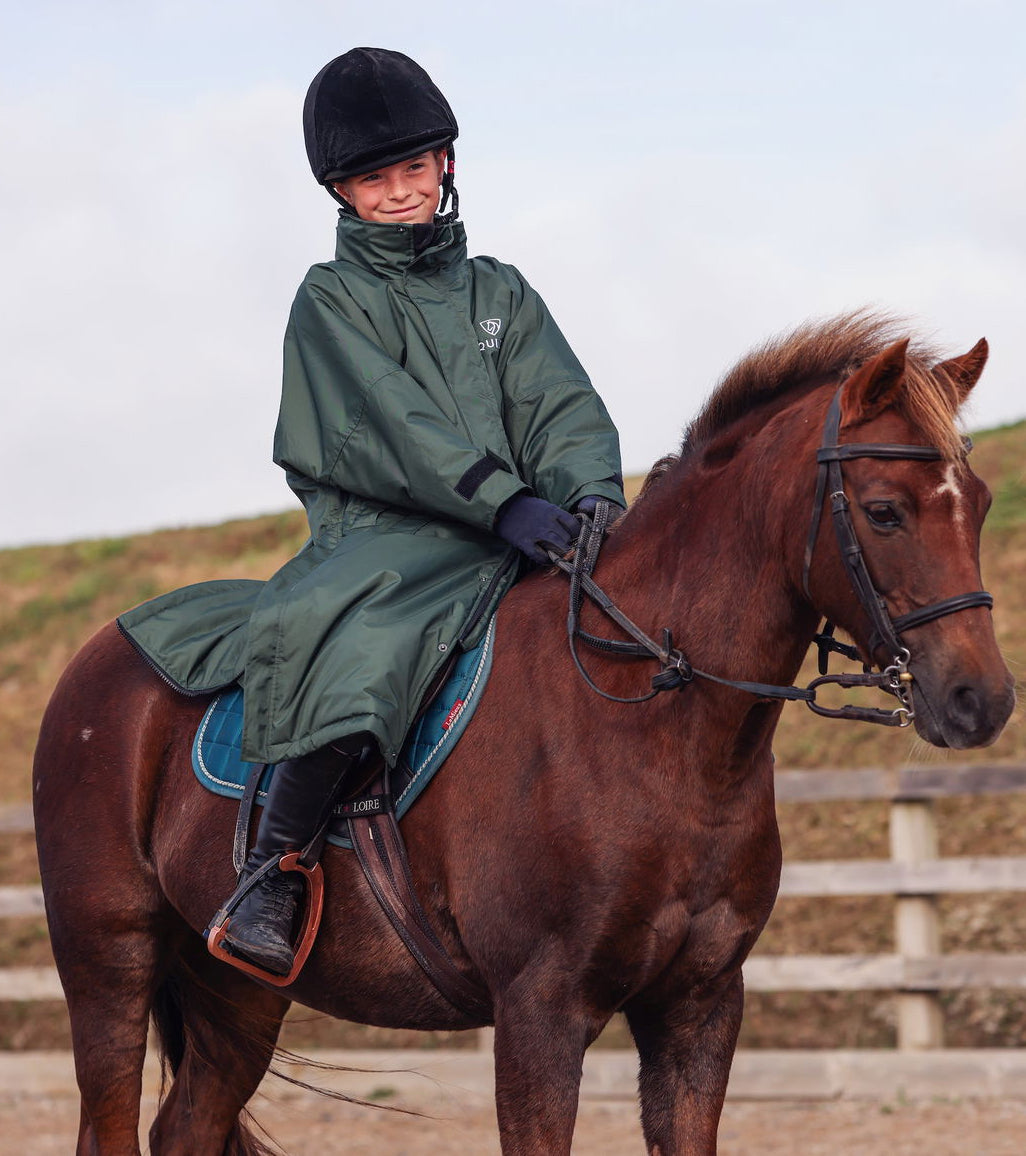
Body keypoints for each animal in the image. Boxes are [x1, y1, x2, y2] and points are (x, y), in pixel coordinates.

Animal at [34, 313, 1014, 1155]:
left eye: (979, 502)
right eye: (884, 510)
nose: (983, 701)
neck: (659, 731)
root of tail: (102, 656)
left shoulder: (698, 1007)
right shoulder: (540, 1013)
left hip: (236, 994)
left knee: (185, 1127)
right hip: (109, 962)